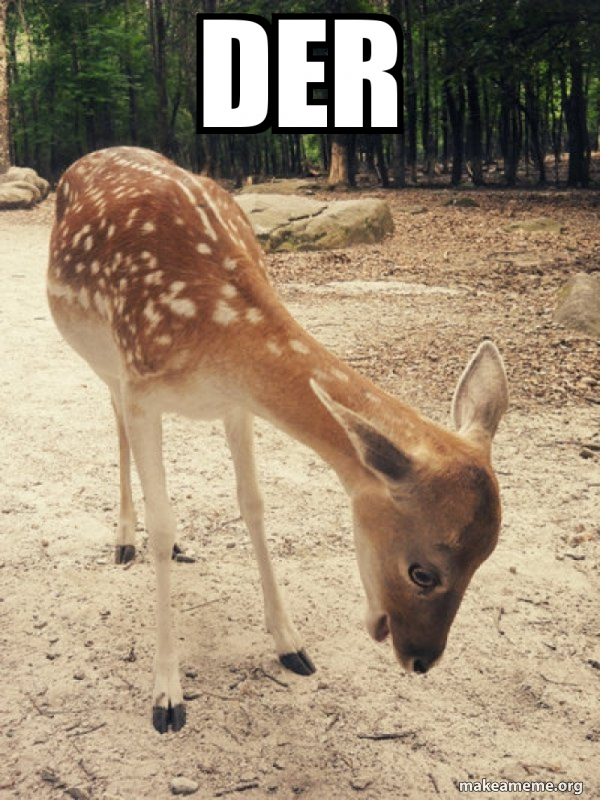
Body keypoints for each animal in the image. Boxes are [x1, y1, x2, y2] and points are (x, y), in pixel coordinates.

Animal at [47, 146, 508, 734]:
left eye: (485, 559)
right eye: (422, 571)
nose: (421, 659)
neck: (213, 333)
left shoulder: (237, 404)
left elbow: (254, 504)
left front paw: (291, 645)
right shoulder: (140, 388)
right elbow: (163, 519)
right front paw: (167, 695)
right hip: (104, 362)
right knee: (116, 425)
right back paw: (125, 539)